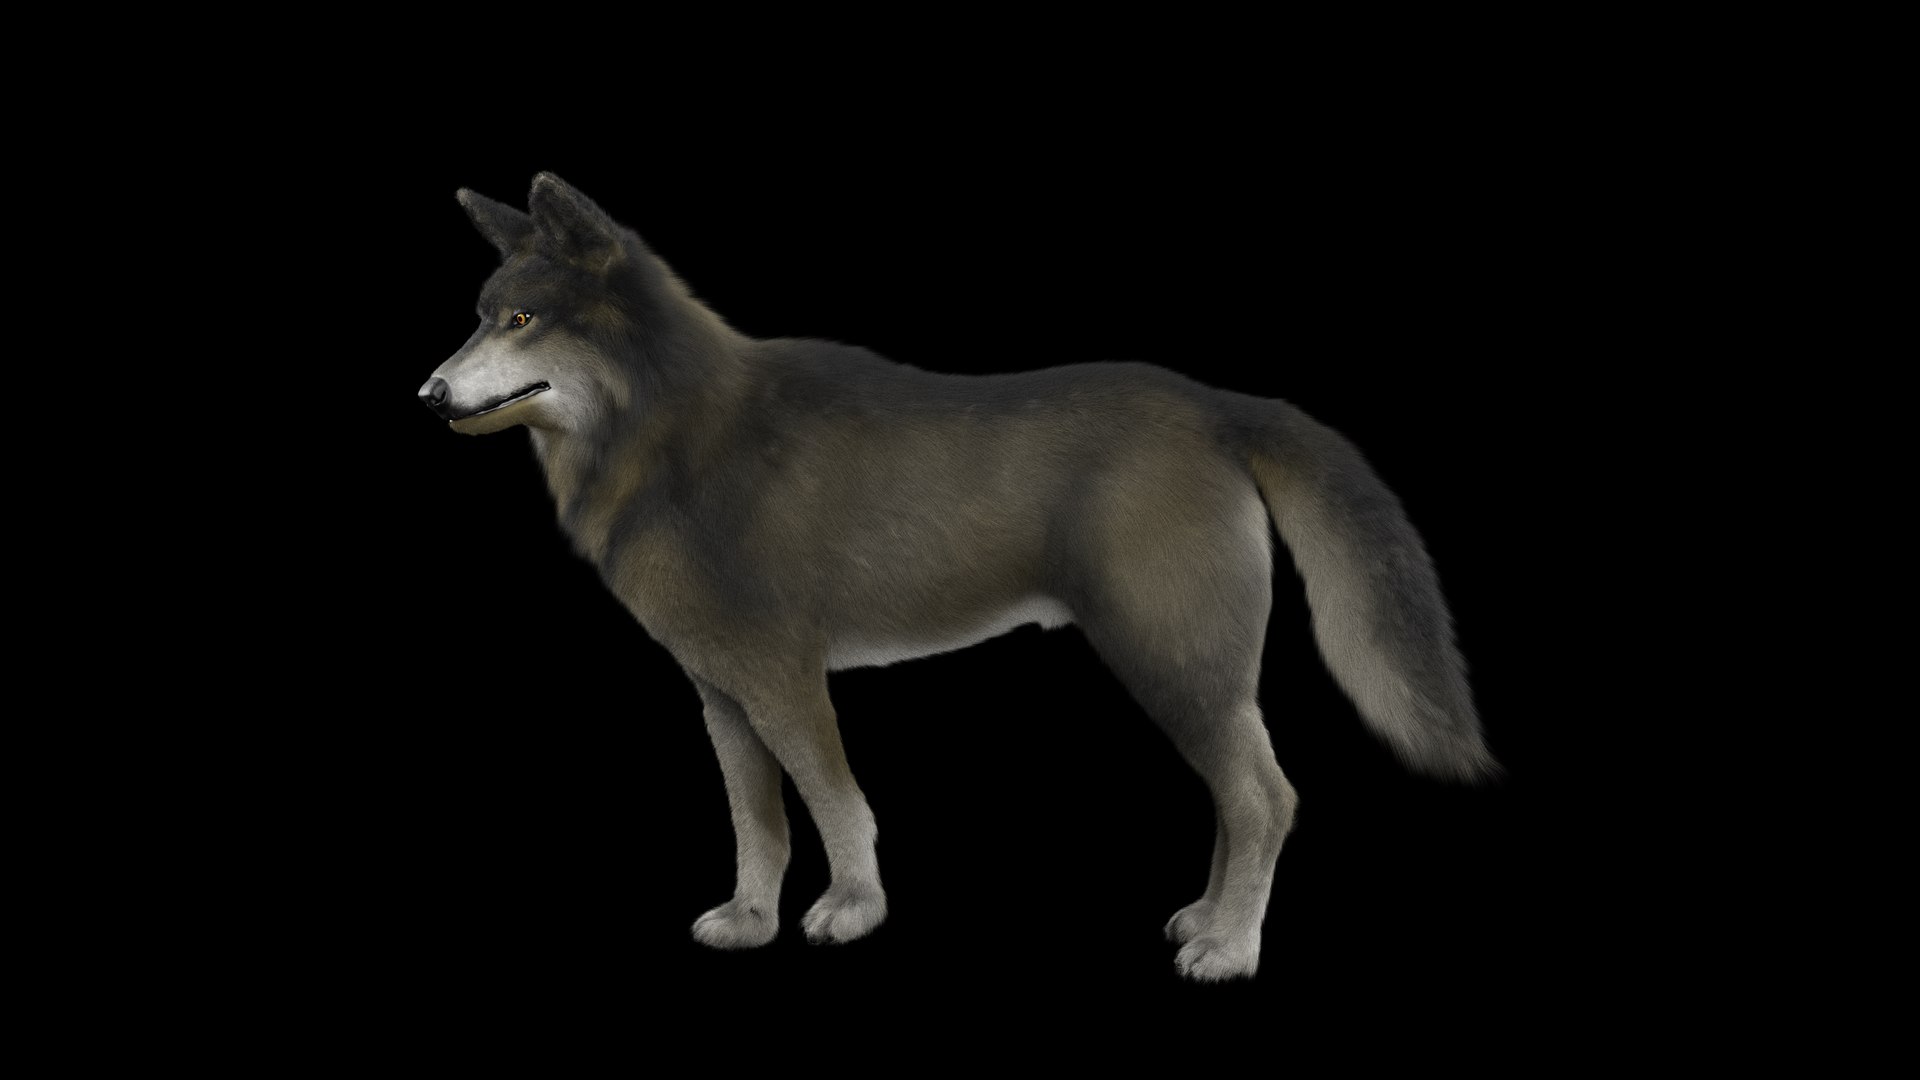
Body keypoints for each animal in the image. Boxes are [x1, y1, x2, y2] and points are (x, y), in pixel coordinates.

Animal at [418, 173, 1498, 981]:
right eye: (479, 318)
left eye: (521, 318)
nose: (426, 394)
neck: (671, 434)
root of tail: (1218, 409)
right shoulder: (720, 694)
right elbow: (758, 823)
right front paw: (751, 919)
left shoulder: (784, 679)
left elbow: (836, 802)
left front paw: (851, 910)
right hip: (1189, 675)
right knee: (1239, 799)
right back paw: (1205, 917)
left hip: (1172, 663)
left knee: (1267, 798)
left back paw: (1231, 949)